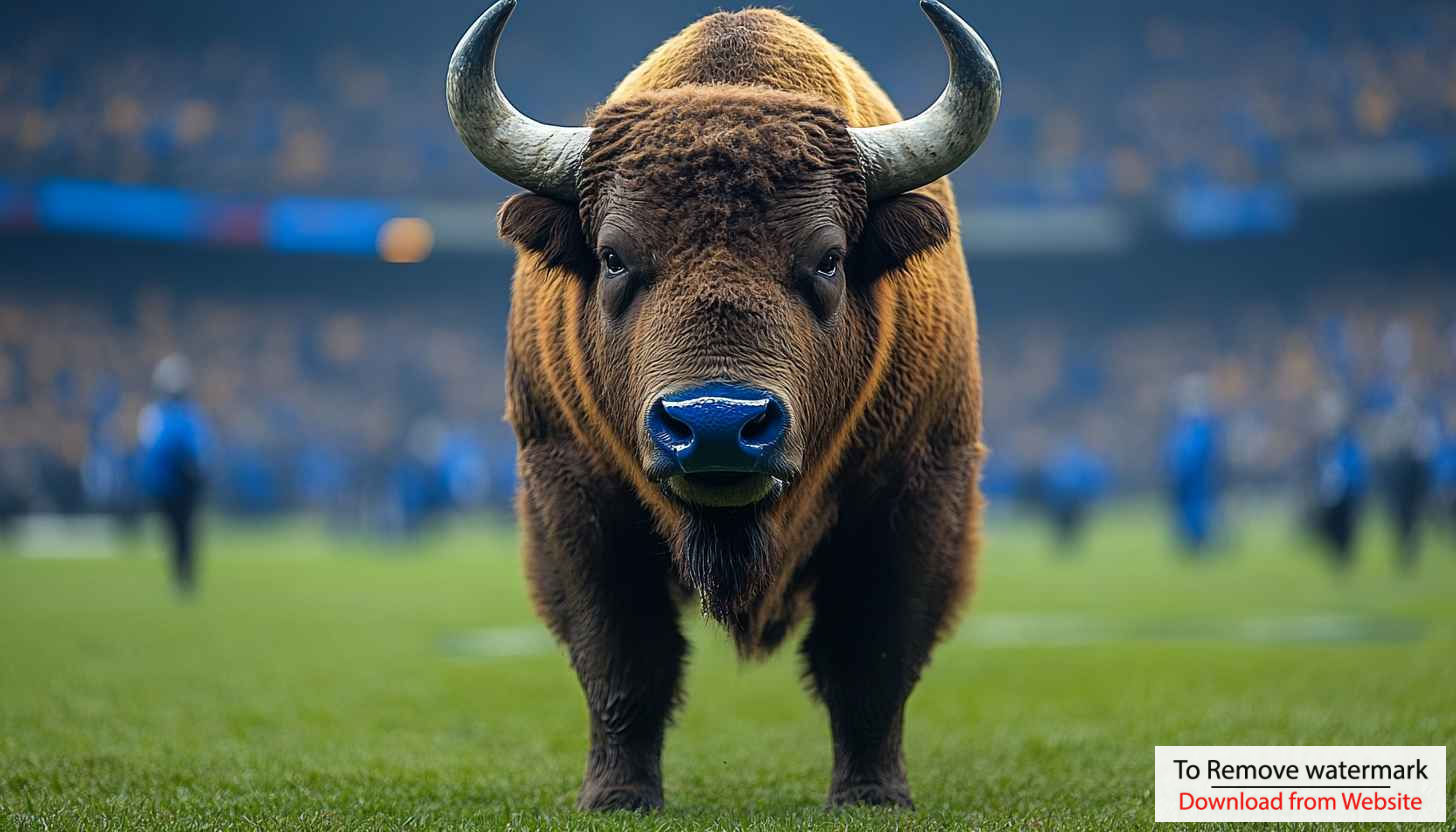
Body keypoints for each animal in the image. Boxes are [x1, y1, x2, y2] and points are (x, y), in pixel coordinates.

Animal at [447, 0, 1000, 810]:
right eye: (613, 256)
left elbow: (872, 660)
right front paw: (618, 797)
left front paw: (871, 795)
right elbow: (621, 659)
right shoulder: (569, 486)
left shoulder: (919, 486)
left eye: (828, 257)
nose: (716, 425)